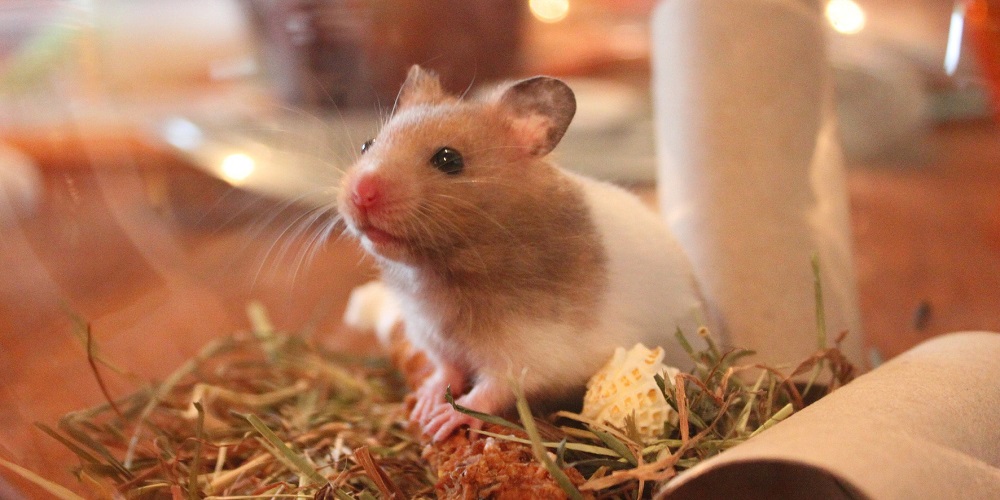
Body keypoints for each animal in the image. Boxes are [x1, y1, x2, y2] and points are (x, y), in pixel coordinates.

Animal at [336, 65, 704, 441]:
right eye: (368, 144)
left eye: (448, 159)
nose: (361, 192)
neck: (441, 270)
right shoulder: (432, 337)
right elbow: (446, 370)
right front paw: (424, 403)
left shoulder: (531, 356)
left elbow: (491, 390)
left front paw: (442, 421)